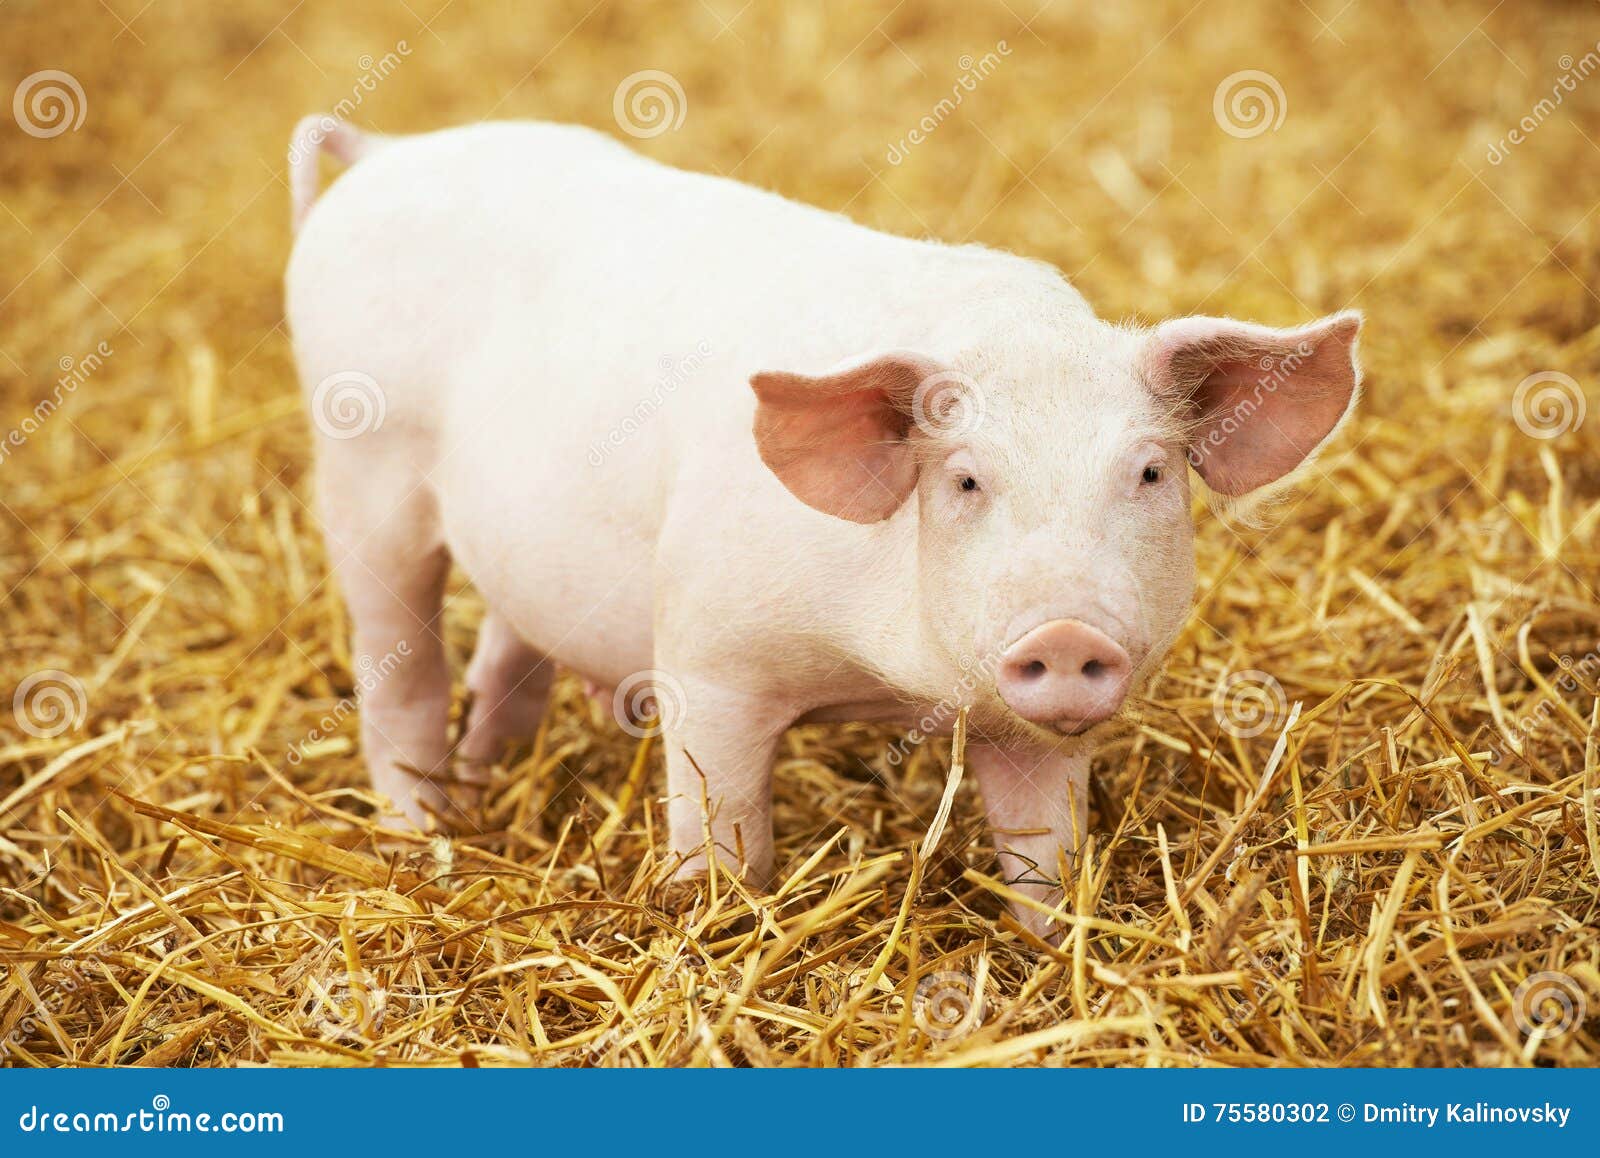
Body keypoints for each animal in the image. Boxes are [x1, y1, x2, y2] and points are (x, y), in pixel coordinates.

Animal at [285, 117, 1361, 939]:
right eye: (965, 479)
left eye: (1147, 472)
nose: (1064, 632)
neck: (881, 680)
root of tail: (381, 153)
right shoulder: (708, 654)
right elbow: (721, 829)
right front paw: (710, 923)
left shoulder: (1035, 731)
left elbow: (1043, 852)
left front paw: (1050, 949)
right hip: (361, 470)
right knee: (400, 668)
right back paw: (426, 826)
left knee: (506, 650)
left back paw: (484, 782)